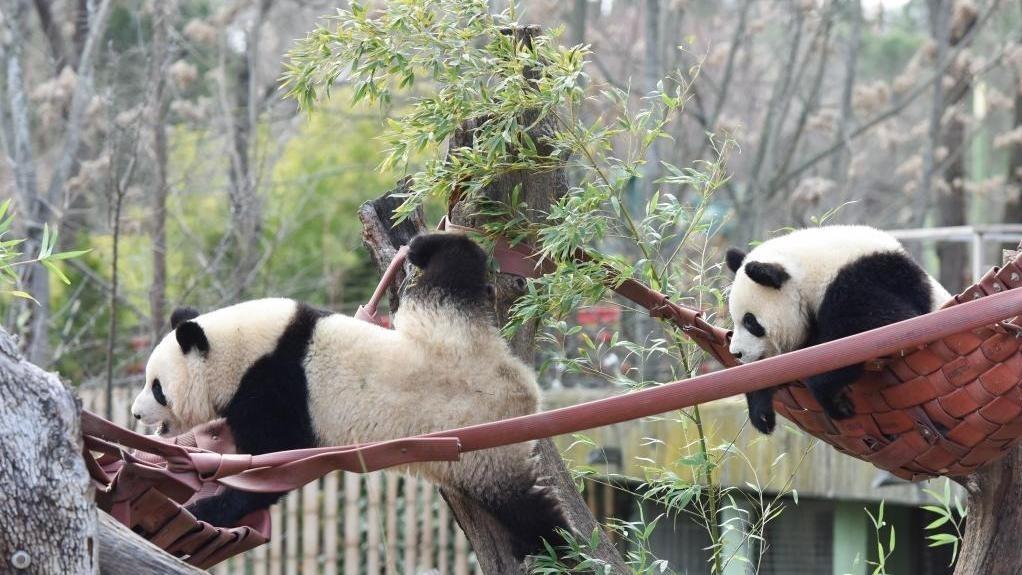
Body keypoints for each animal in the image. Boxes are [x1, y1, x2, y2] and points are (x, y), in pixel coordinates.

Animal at [130, 232, 568, 559]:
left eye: (157, 387)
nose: (134, 413)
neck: (246, 351)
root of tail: (521, 389)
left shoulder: (277, 387)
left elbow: (271, 461)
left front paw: (208, 508)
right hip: (444, 326)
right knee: (454, 272)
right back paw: (426, 246)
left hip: (485, 449)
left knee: (526, 509)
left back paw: (557, 549)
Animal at [725, 225, 952, 434]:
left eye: (750, 321)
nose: (736, 353)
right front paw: (761, 411)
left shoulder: (863, 281)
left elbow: (887, 329)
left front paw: (836, 403)